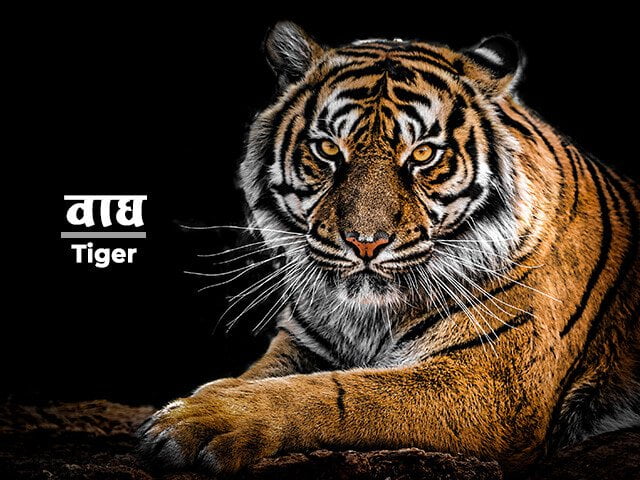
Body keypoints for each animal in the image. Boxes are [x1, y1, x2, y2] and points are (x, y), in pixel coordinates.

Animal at [138, 22, 640, 475]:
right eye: (327, 150)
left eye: (422, 154)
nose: (366, 243)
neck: (368, 318)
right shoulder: (300, 343)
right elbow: (260, 377)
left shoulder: (491, 385)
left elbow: (335, 393)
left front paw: (197, 421)